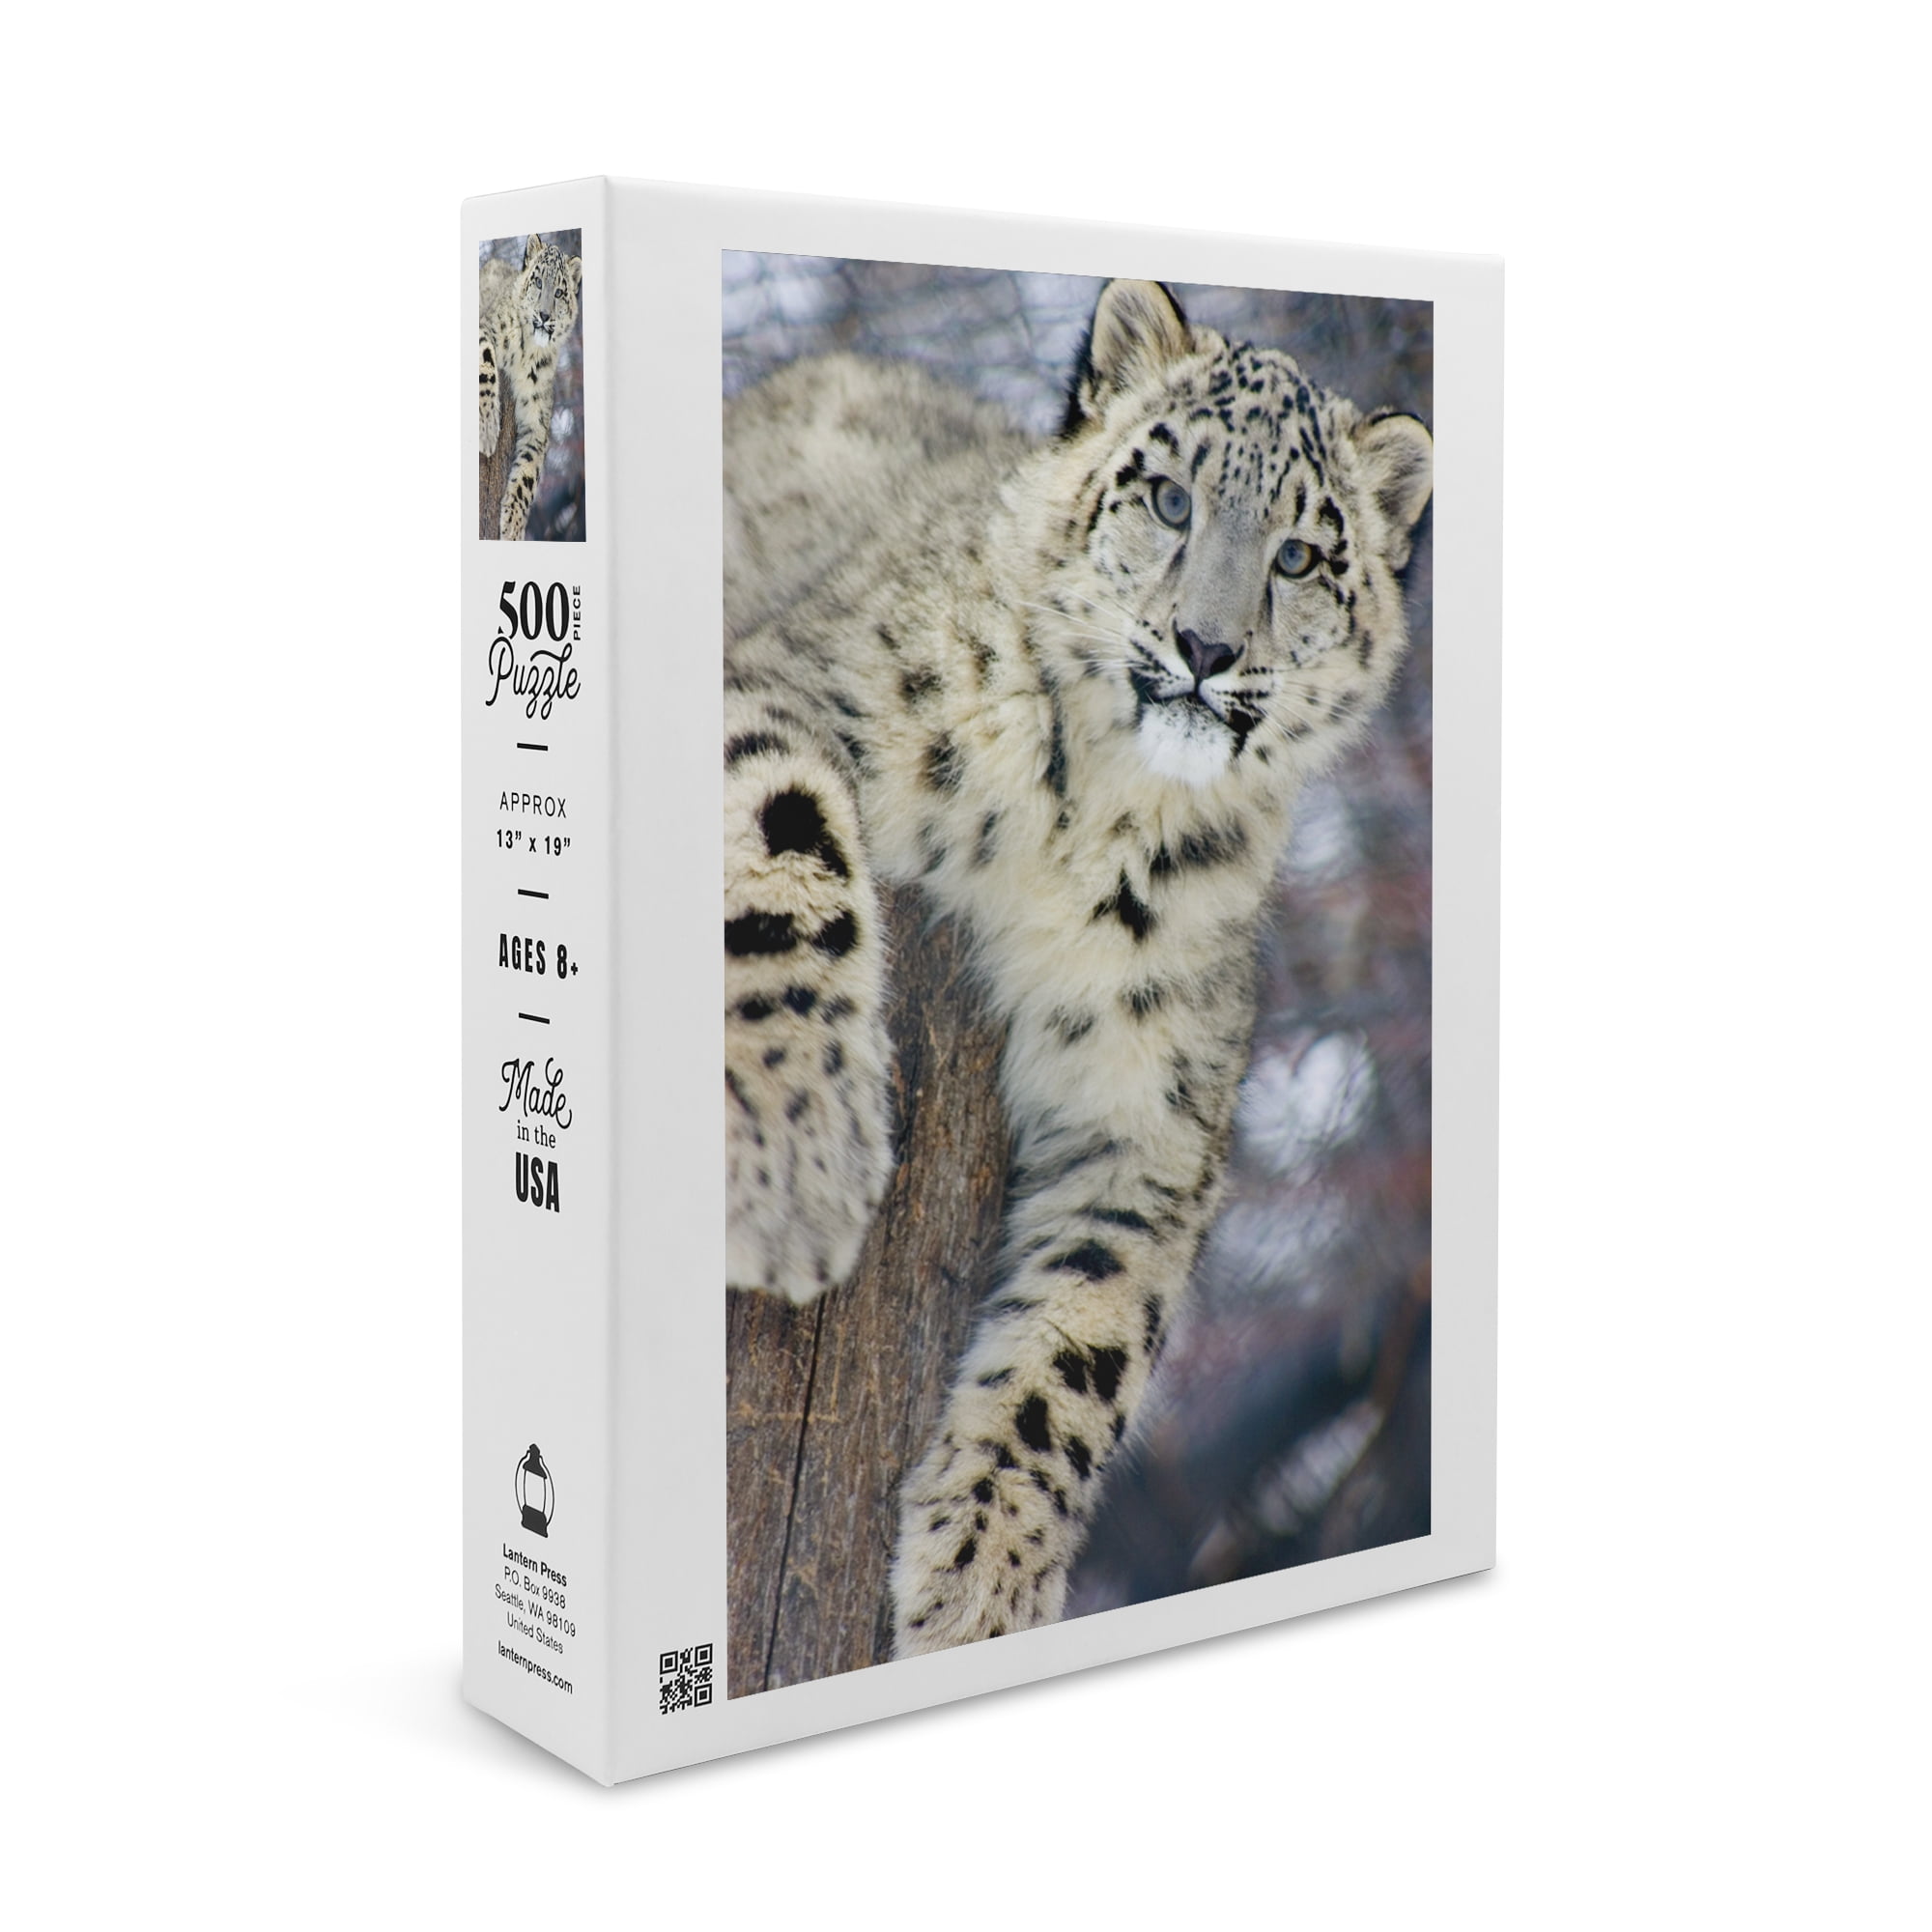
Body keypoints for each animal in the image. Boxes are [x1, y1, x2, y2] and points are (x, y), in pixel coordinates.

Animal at [479, 235, 581, 541]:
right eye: (537, 281)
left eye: (559, 292)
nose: (544, 315)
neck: (528, 355)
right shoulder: (483, 330)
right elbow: (486, 362)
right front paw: (487, 430)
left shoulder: (537, 418)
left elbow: (527, 473)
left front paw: (512, 527)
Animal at [722, 279, 1433, 1656]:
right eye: (1168, 497)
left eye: (1301, 556)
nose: (1205, 646)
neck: (1094, 811)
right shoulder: (775, 682)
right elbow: (787, 841)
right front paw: (797, 1170)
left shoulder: (1148, 1103)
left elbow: (1089, 1337)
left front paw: (982, 1581)